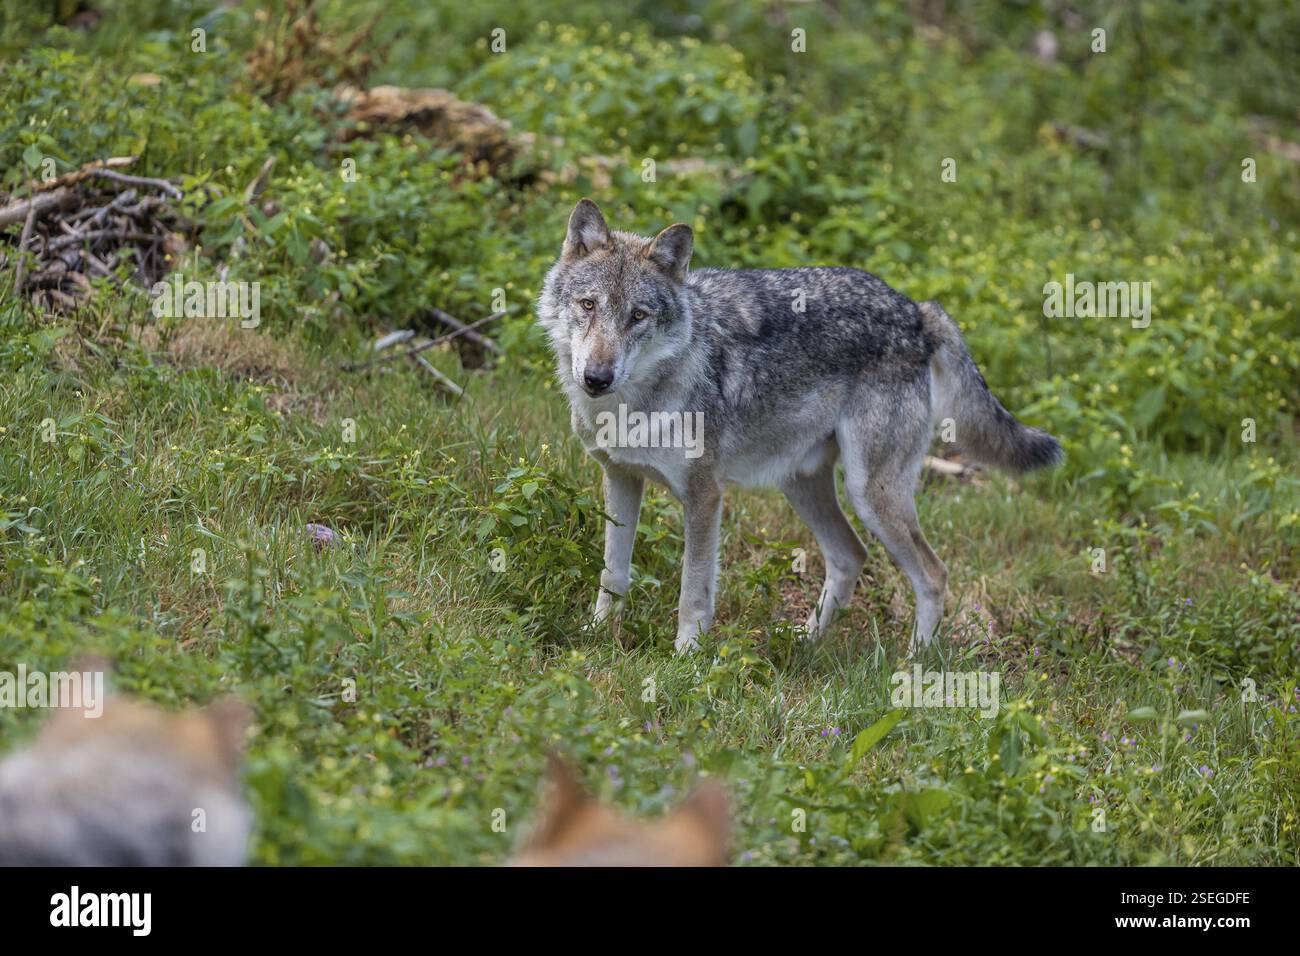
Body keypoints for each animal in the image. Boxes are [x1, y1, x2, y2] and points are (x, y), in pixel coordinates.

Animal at [537, 198, 1062, 653]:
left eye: (638, 316)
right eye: (588, 305)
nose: (597, 378)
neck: (630, 405)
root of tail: (917, 309)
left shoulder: (705, 496)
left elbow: (693, 590)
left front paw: (686, 658)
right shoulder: (620, 477)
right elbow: (613, 573)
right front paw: (596, 635)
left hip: (870, 495)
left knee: (933, 574)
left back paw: (914, 665)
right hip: (804, 485)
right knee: (850, 556)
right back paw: (806, 641)